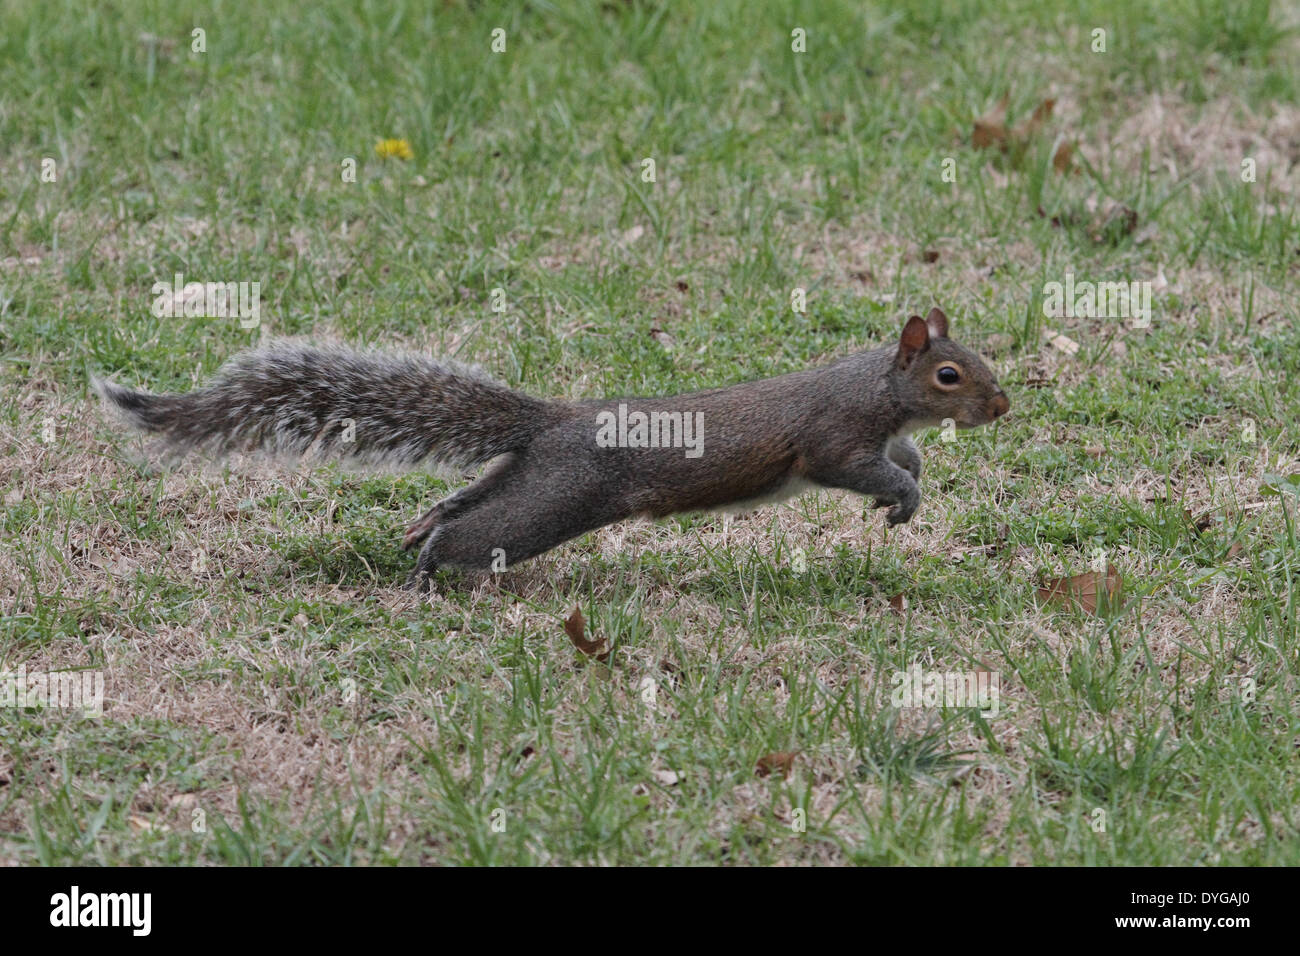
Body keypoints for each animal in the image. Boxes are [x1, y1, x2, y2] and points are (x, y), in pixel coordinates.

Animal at [93, 306, 1009, 589]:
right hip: (558, 500)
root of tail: (553, 423)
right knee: (472, 532)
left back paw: (419, 528)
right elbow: (848, 468)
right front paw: (902, 497)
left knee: (463, 498)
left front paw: (911, 484)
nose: (1002, 405)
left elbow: (906, 461)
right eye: (951, 374)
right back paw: (428, 567)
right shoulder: (832, 439)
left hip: (528, 477)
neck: (880, 391)